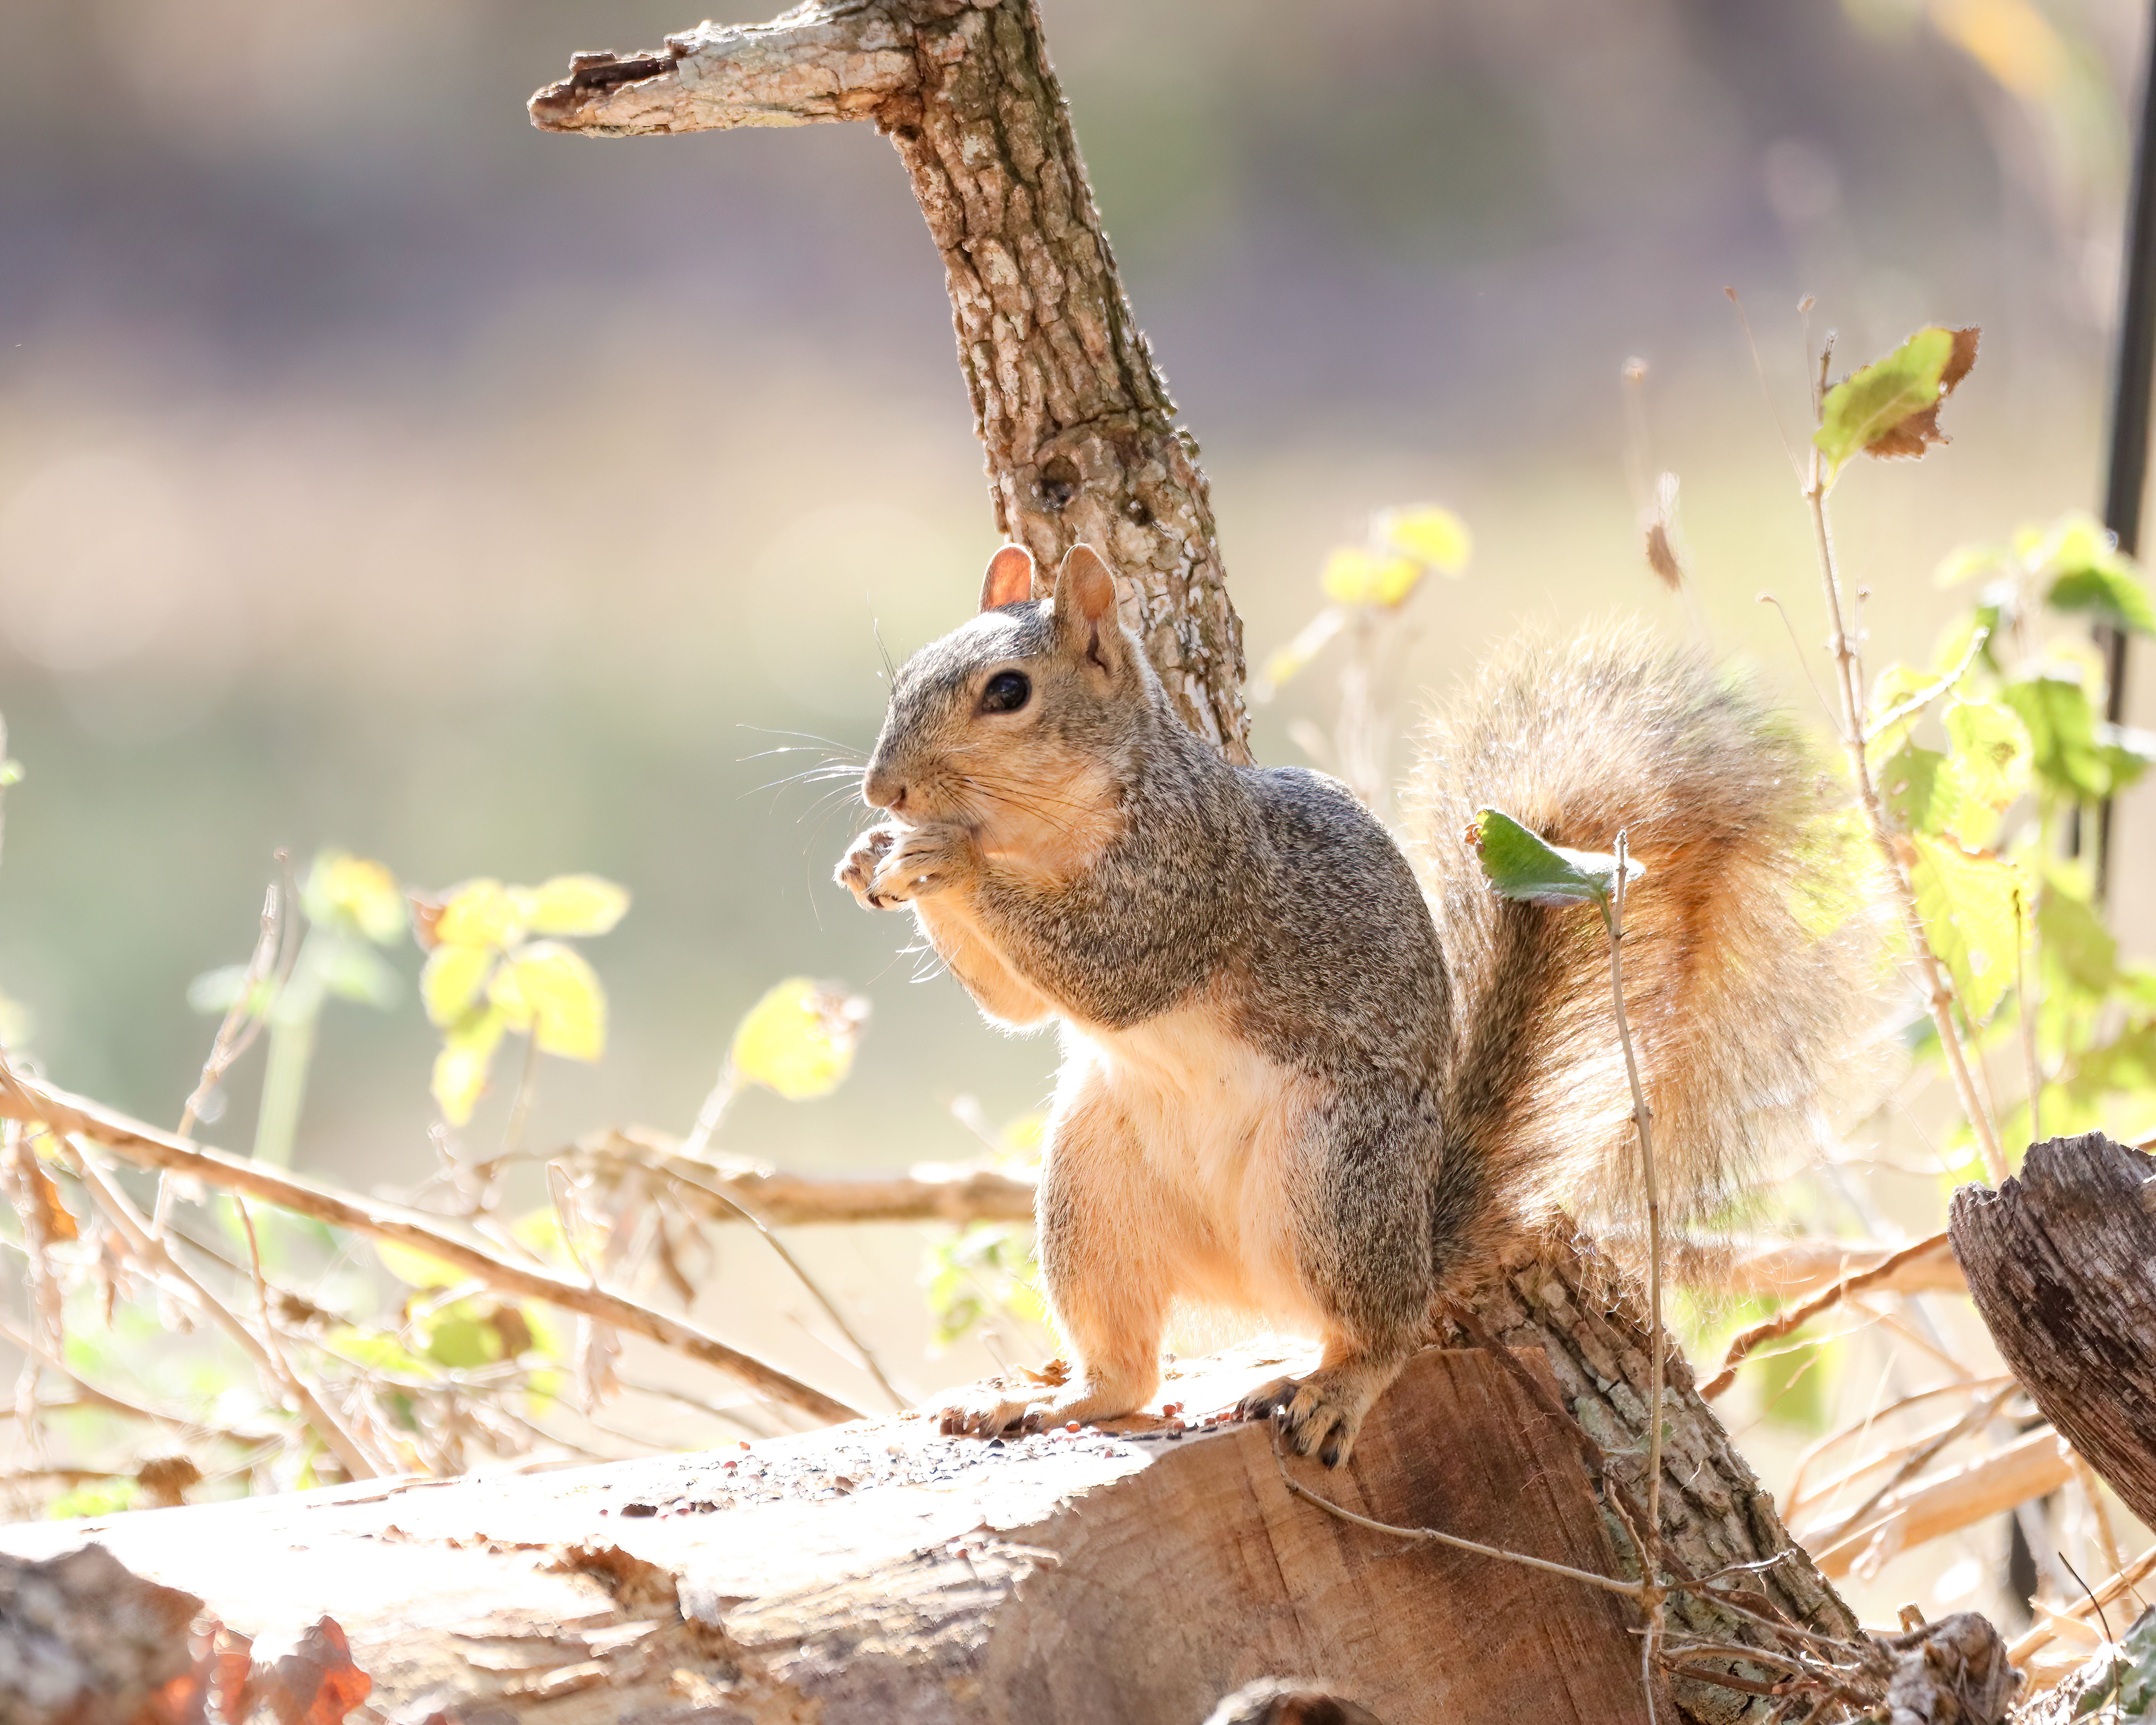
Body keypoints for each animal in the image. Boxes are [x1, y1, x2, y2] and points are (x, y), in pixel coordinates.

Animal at [837, 540, 1855, 1466]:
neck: (1038, 831)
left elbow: (1111, 967)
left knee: (1384, 1332)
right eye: (907, 677)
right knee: (1127, 1369)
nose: (883, 788)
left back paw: (1333, 1389)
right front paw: (872, 855)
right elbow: (1015, 1005)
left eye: (1007, 692)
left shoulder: (1191, 875)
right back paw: (1050, 1401)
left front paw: (943, 856)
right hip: (1095, 1195)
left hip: (1335, 1179)